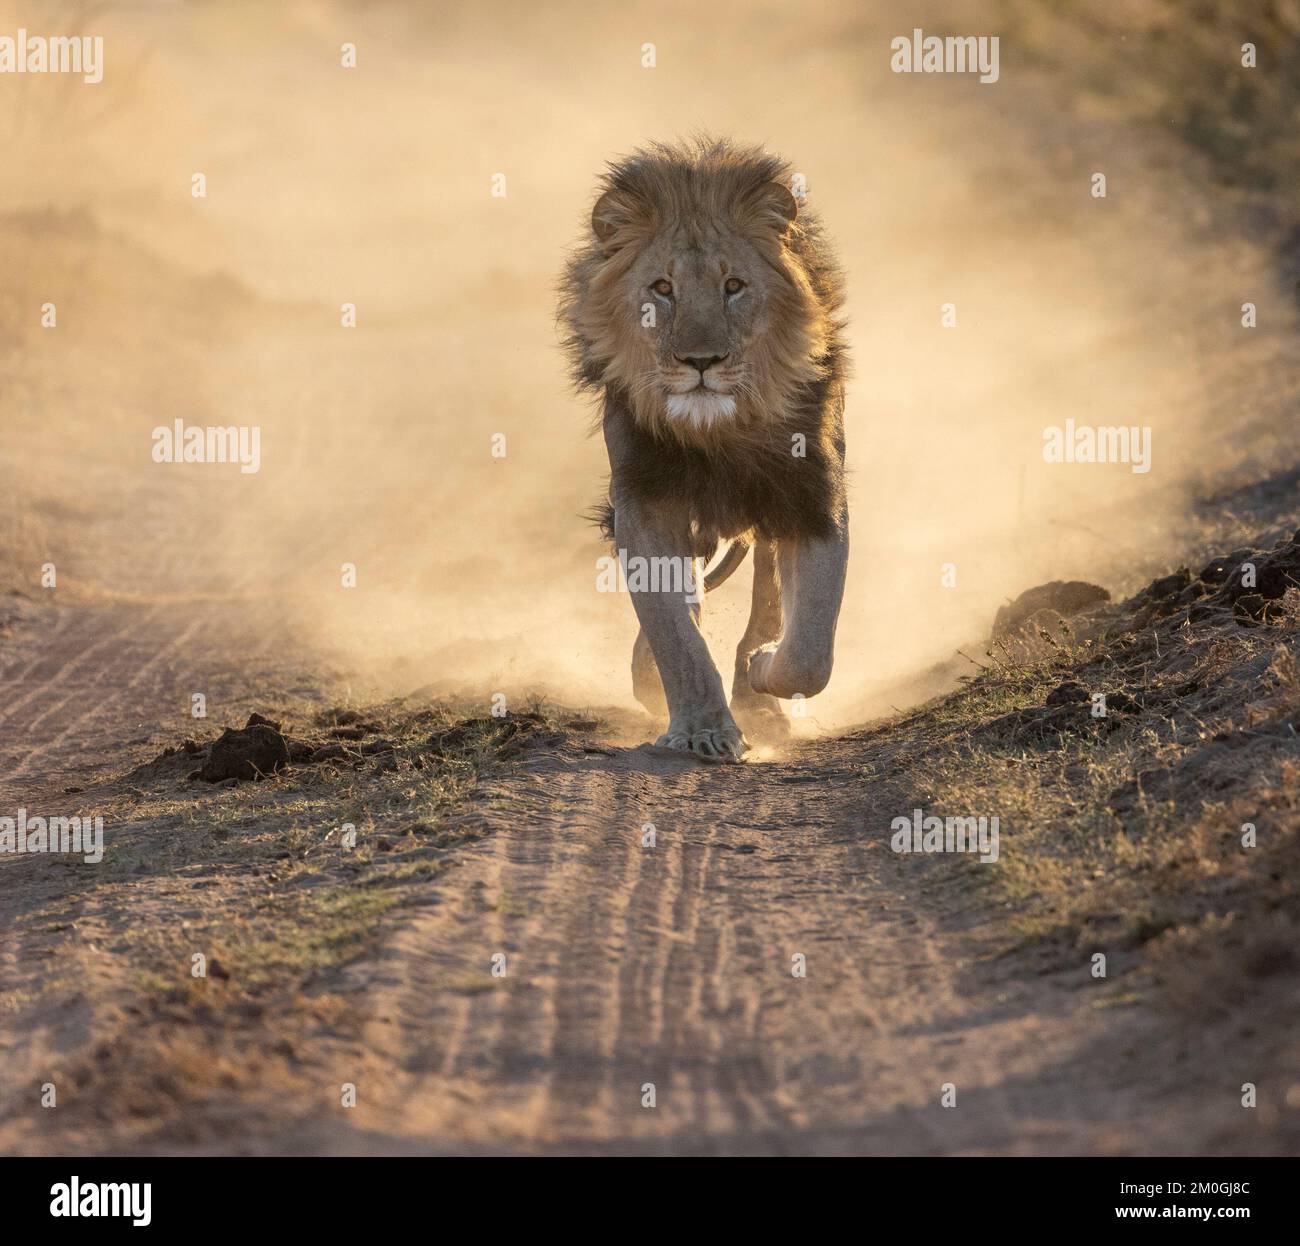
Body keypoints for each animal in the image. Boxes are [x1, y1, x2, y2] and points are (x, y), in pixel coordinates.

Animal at [559, 137, 849, 761]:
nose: (701, 361)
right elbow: (675, 631)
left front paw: (764, 672)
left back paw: (758, 692)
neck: (719, 431)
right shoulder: (644, 501)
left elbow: (811, 646)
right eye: (662, 289)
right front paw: (702, 729)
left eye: (733, 286)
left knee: (767, 595)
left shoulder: (813, 497)